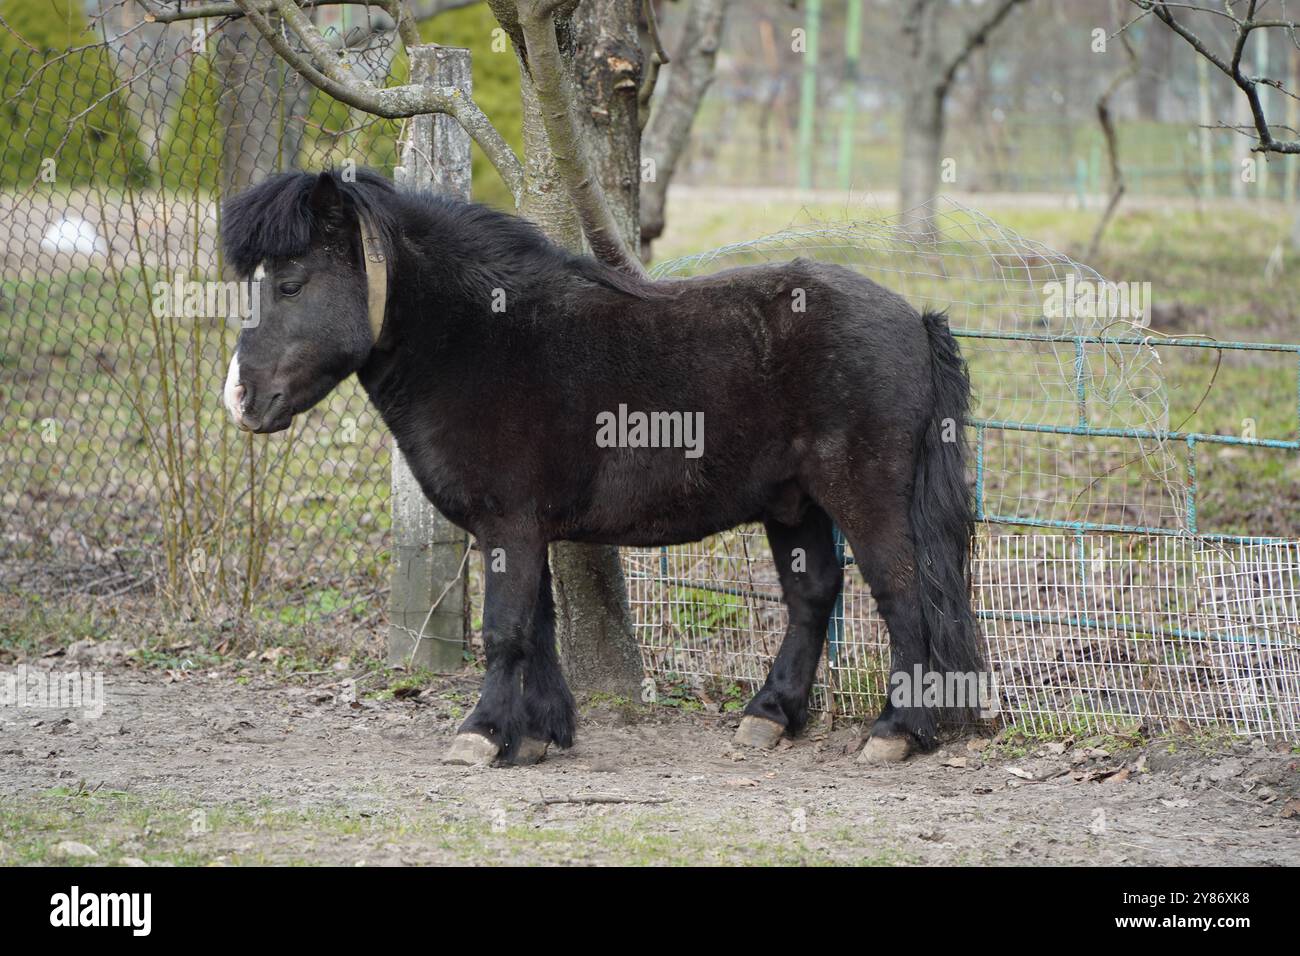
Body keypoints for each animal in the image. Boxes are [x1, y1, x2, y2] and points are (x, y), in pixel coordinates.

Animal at [220, 168, 981, 767]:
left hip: (863, 496)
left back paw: (895, 730)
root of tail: (914, 318)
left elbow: (505, 629)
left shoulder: (508, 525)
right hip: (793, 503)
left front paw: (481, 733)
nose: (241, 399)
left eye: (290, 284)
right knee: (813, 596)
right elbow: (538, 626)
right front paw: (537, 734)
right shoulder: (521, 529)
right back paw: (769, 716)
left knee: (902, 594)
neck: (479, 337)